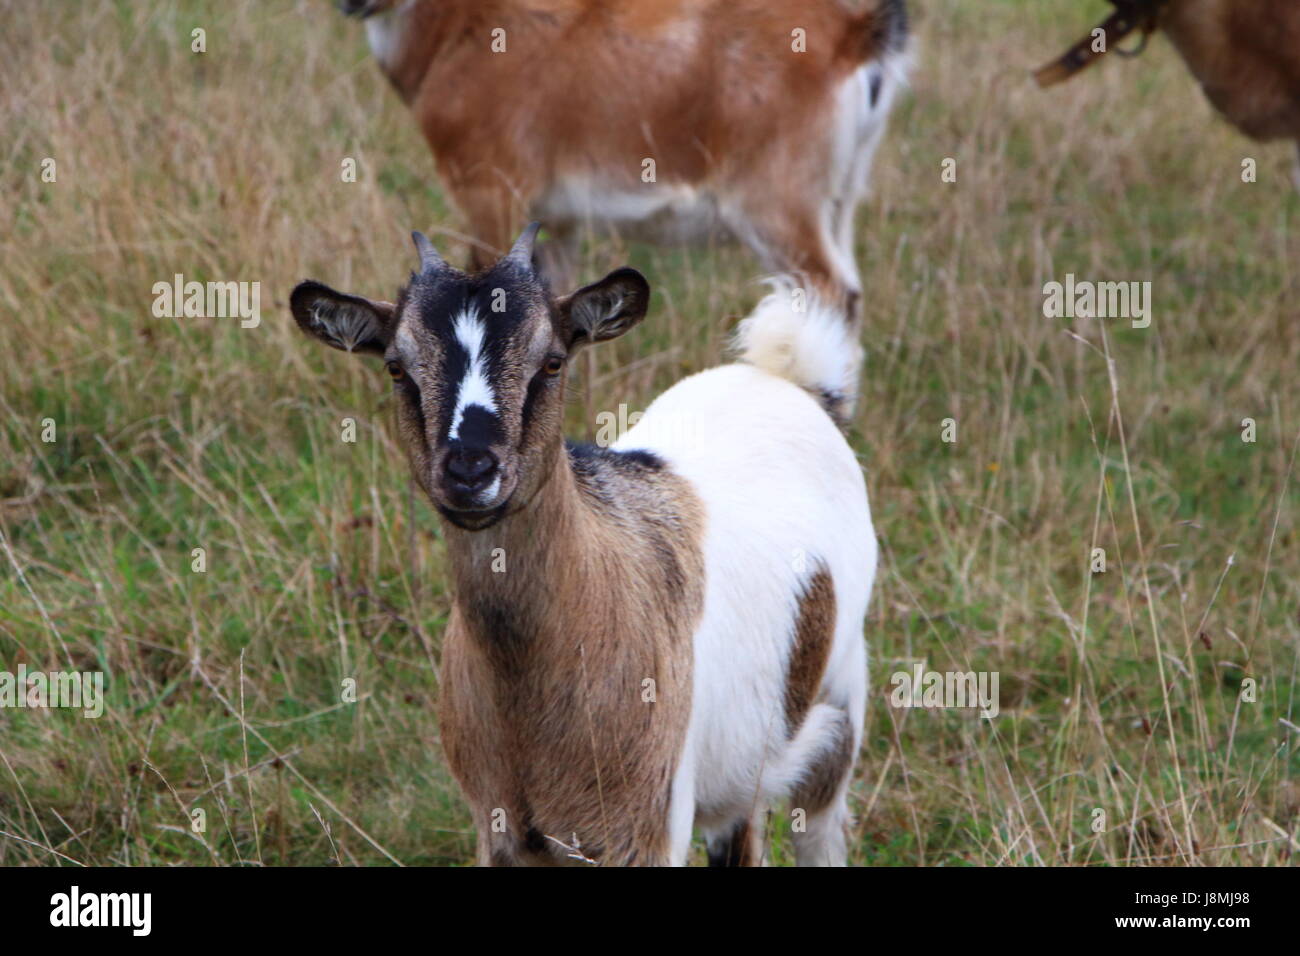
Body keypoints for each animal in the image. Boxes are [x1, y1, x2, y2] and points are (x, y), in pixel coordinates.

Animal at [289, 223, 877, 865]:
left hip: (839, 704)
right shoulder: (499, 828)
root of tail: (790, 381)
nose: (470, 470)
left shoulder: (646, 831)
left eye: (552, 361)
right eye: (397, 367)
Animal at [336, 0, 909, 316]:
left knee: (832, 294)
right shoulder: (557, 222)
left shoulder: (490, 193)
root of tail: (855, 36)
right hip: (839, 204)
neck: (470, 26)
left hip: (777, 213)